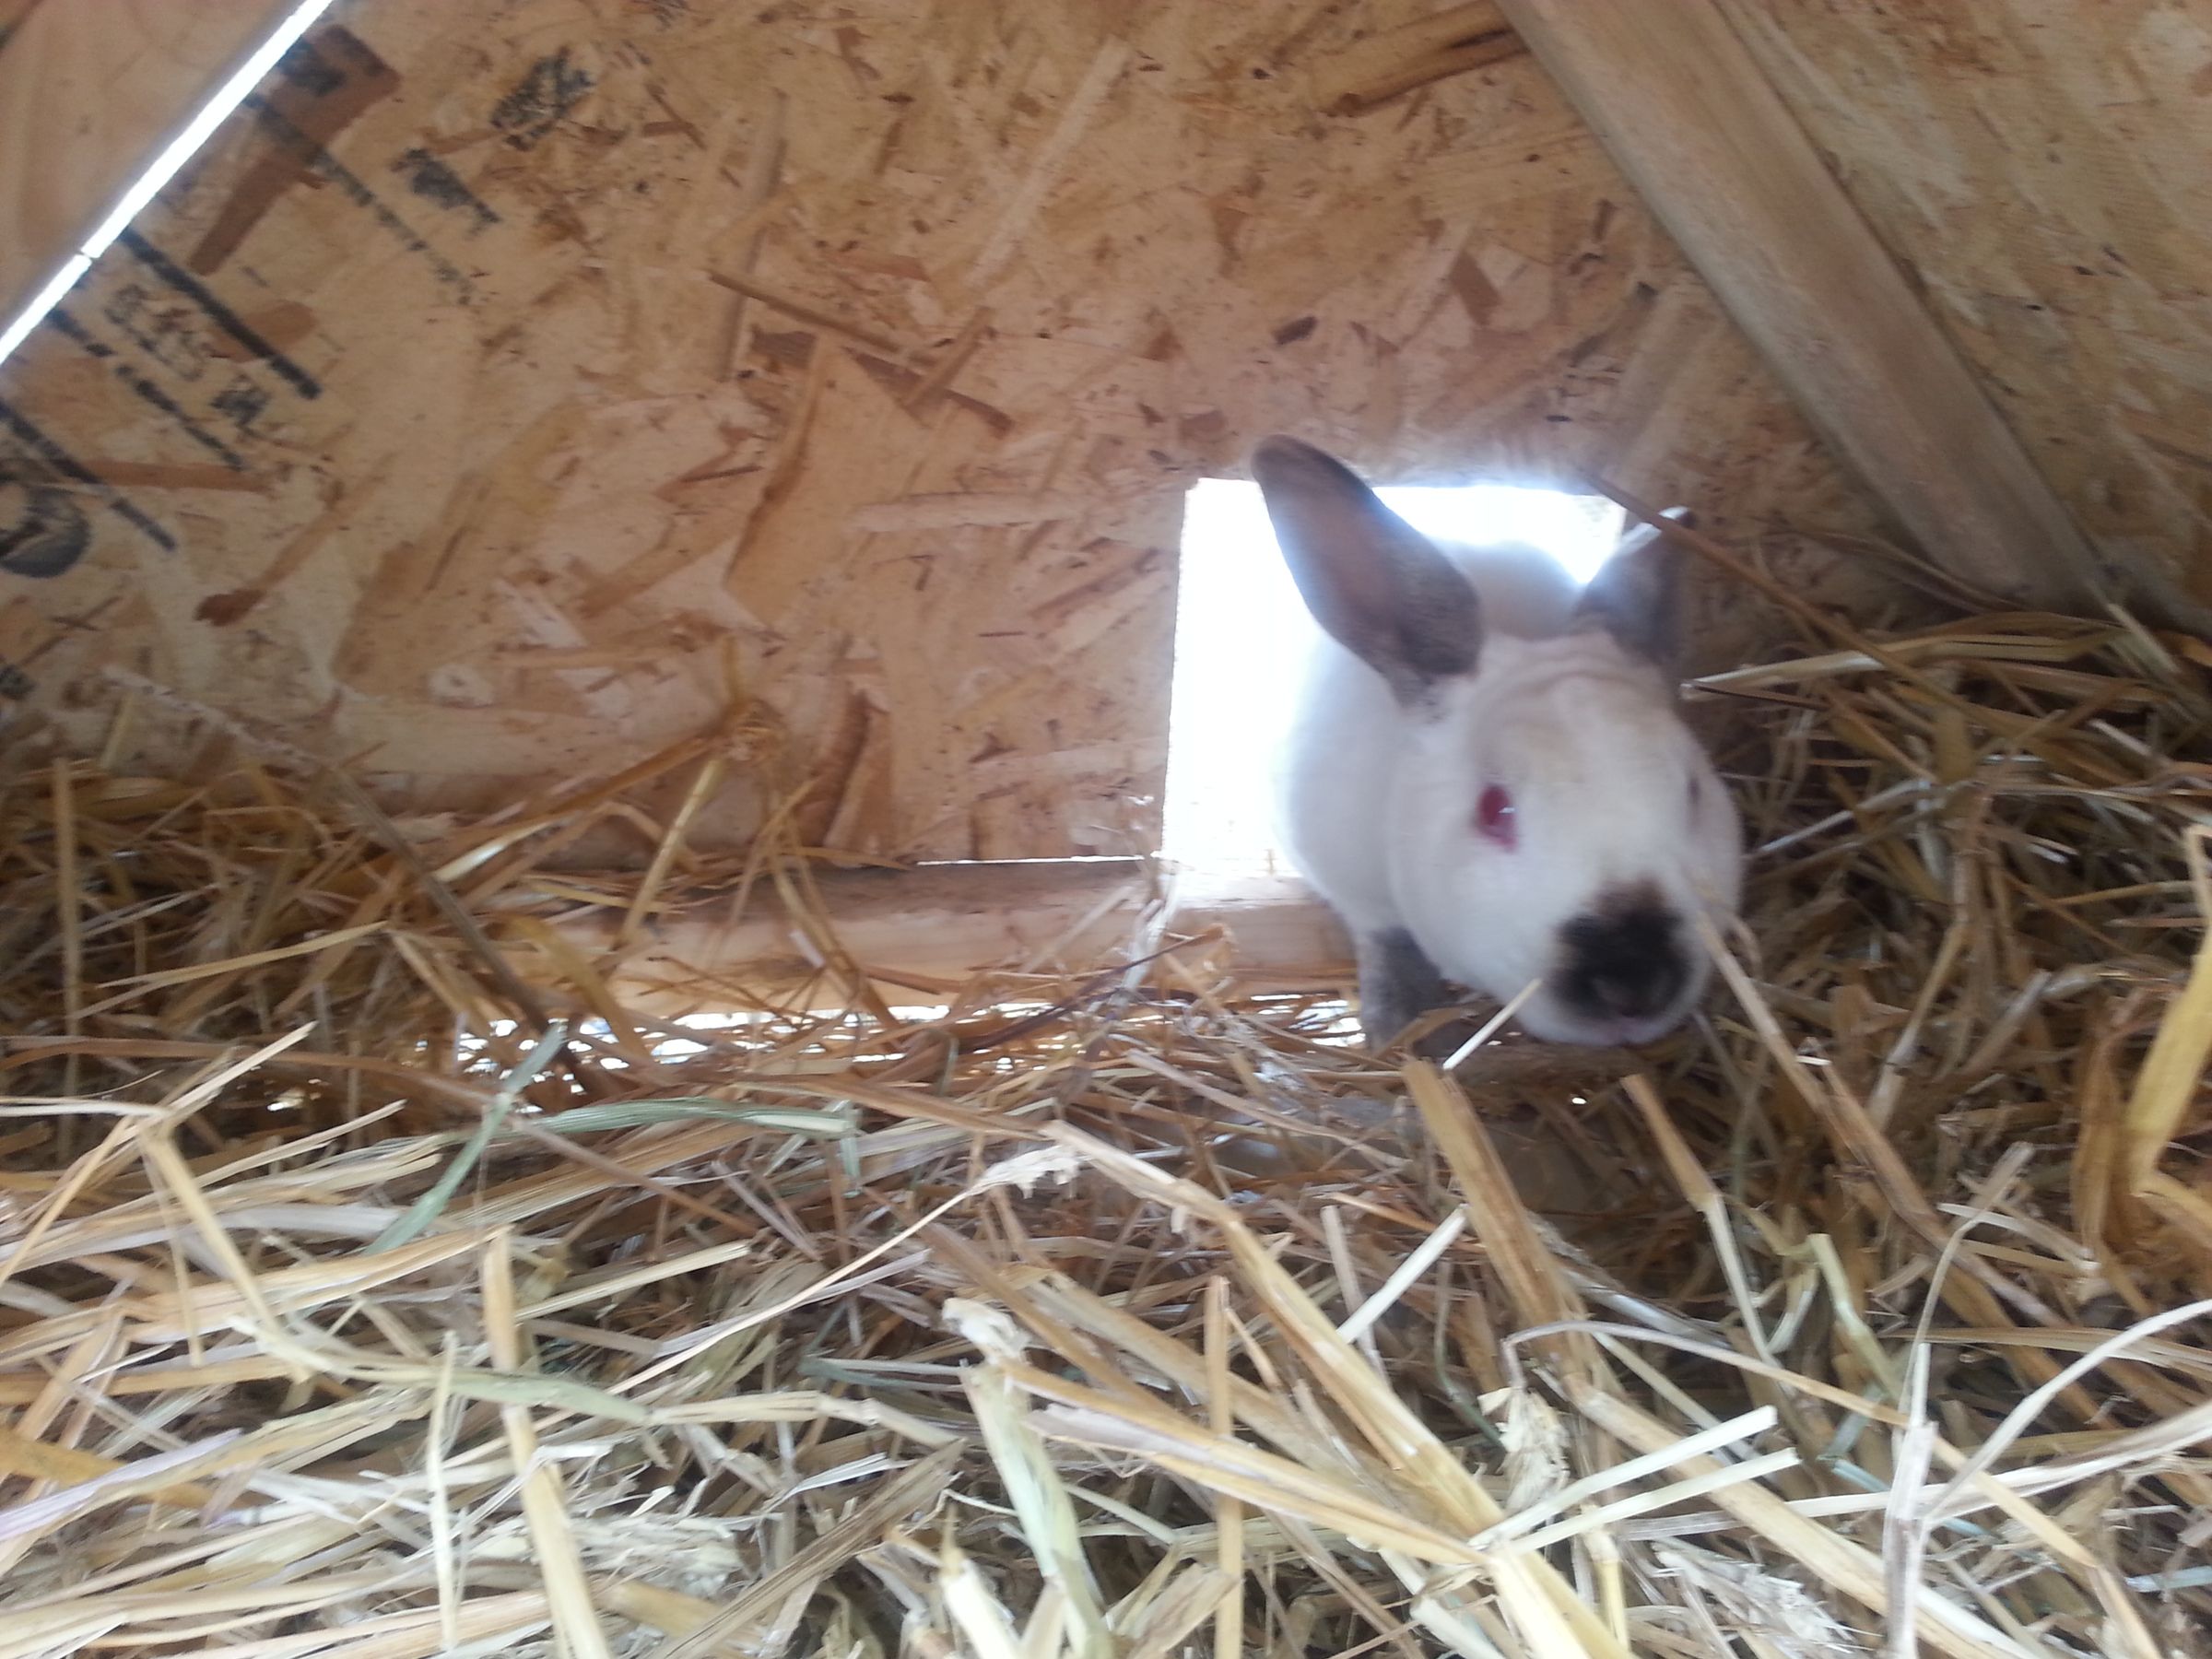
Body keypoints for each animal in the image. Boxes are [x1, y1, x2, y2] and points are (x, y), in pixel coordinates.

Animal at [1250, 436, 1743, 1052]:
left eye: (1693, 792)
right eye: (1494, 810)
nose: (1632, 983)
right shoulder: (1349, 882)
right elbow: (1386, 942)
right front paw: (1400, 1027)